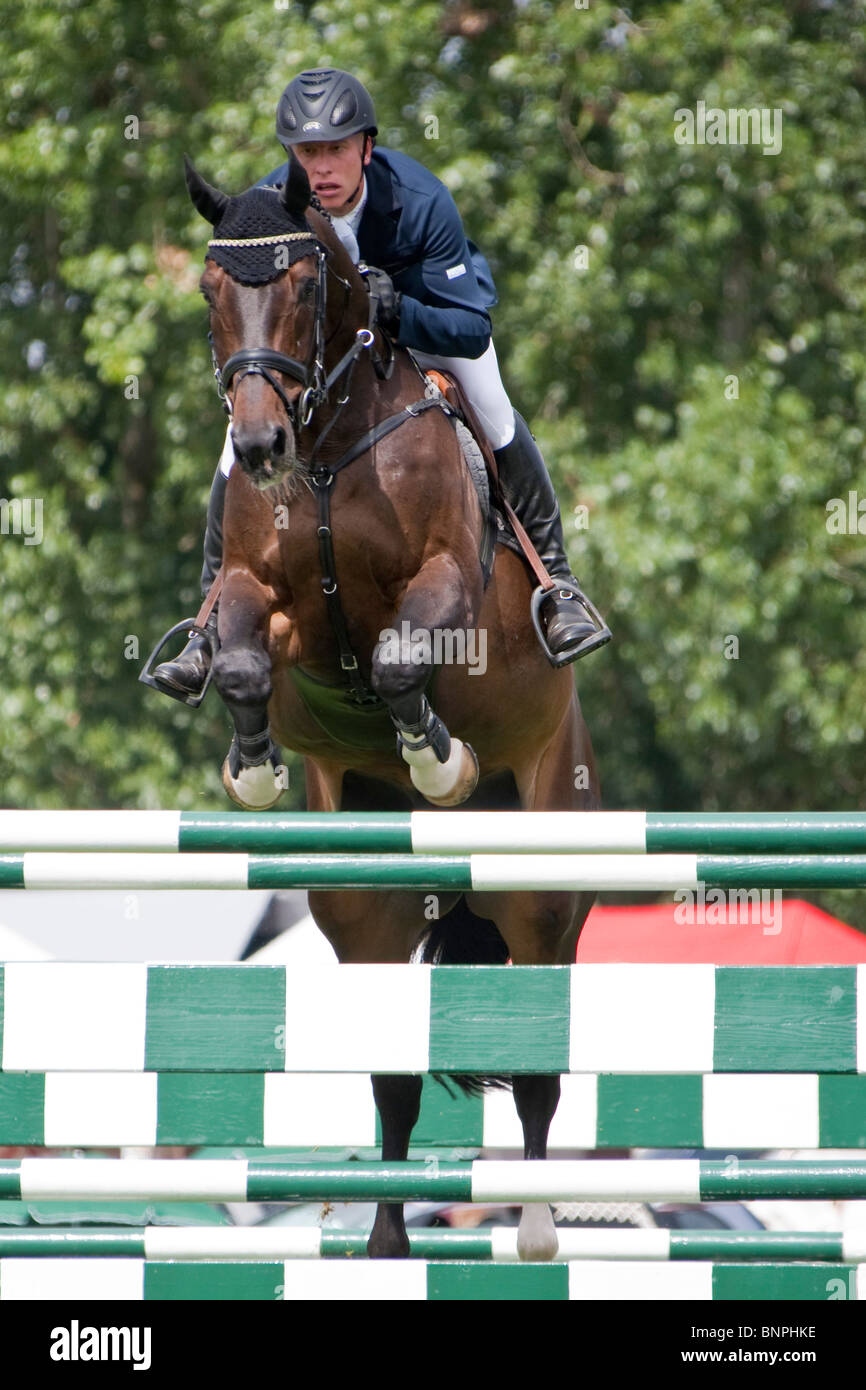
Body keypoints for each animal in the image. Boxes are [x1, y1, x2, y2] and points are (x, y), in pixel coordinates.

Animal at [184, 155, 601, 1259]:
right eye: (209, 290)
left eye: (301, 288)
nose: (258, 443)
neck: (328, 443)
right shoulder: (262, 596)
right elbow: (243, 659)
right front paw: (253, 763)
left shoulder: (447, 591)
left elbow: (402, 658)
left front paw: (437, 757)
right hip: (364, 909)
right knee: (393, 1084)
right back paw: (383, 1247)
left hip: (541, 892)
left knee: (535, 1069)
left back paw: (535, 1227)